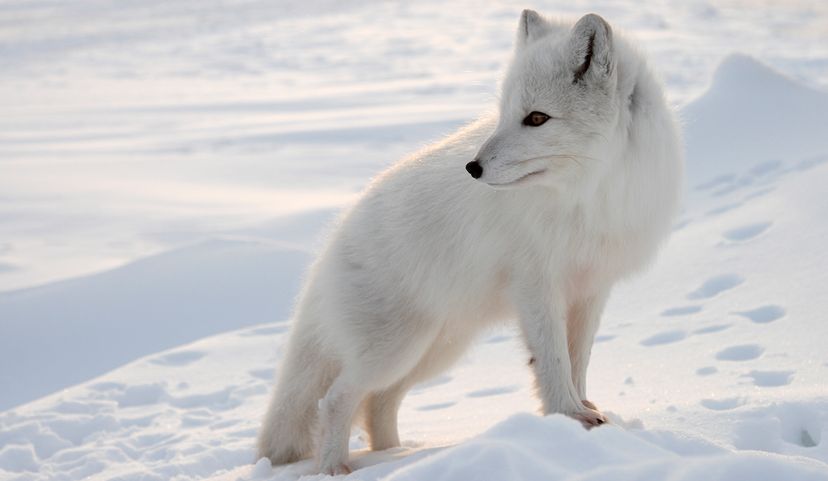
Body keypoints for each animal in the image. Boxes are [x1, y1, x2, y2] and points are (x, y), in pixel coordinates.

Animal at [258, 9, 680, 474]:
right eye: (503, 114)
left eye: (536, 118)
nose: (472, 168)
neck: (587, 195)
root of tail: (332, 243)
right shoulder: (536, 287)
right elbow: (553, 361)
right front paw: (567, 418)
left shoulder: (590, 288)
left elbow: (578, 358)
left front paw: (584, 414)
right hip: (395, 350)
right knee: (335, 400)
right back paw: (337, 468)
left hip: (436, 350)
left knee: (377, 404)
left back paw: (395, 455)